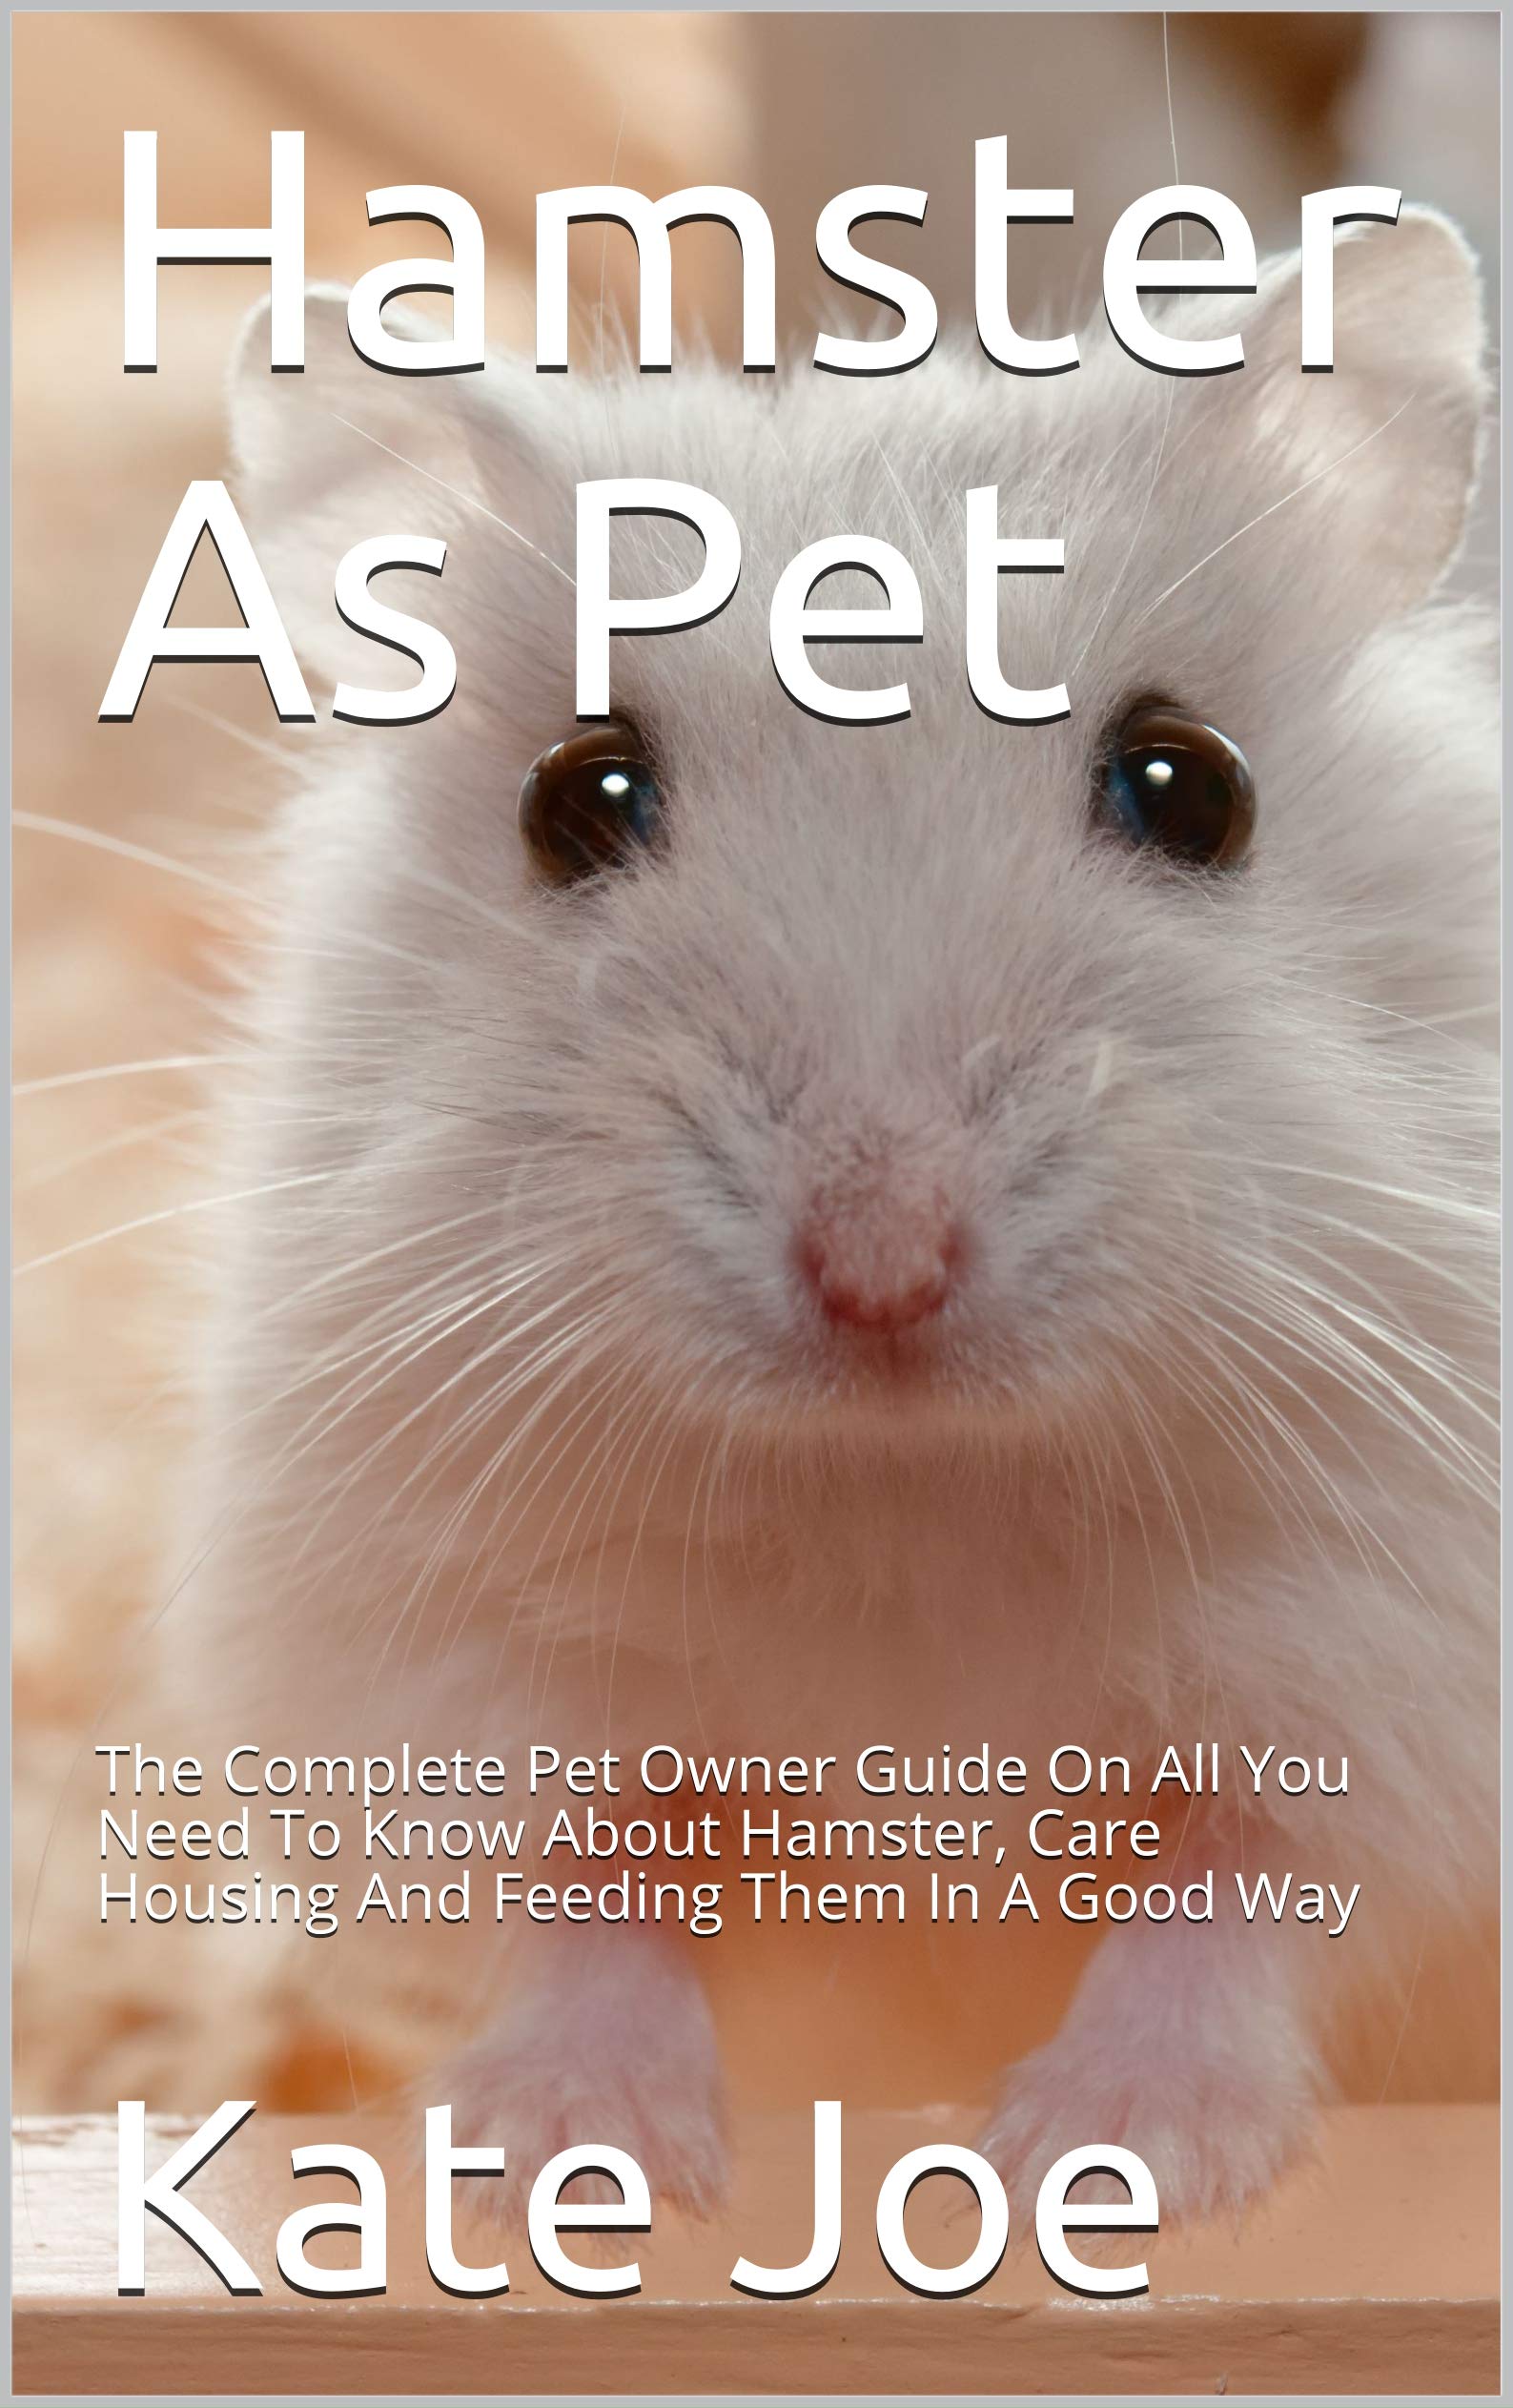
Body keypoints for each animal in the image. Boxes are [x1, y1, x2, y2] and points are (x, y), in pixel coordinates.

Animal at [193, 205, 1496, 2236]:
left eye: (1189, 785)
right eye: (578, 801)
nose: (881, 1269)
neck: (911, 1493)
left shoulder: (1398, 1663)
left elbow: (1233, 1904)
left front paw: (1097, 2159)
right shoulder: (454, 1664)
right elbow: (585, 1899)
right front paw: (568, 2156)